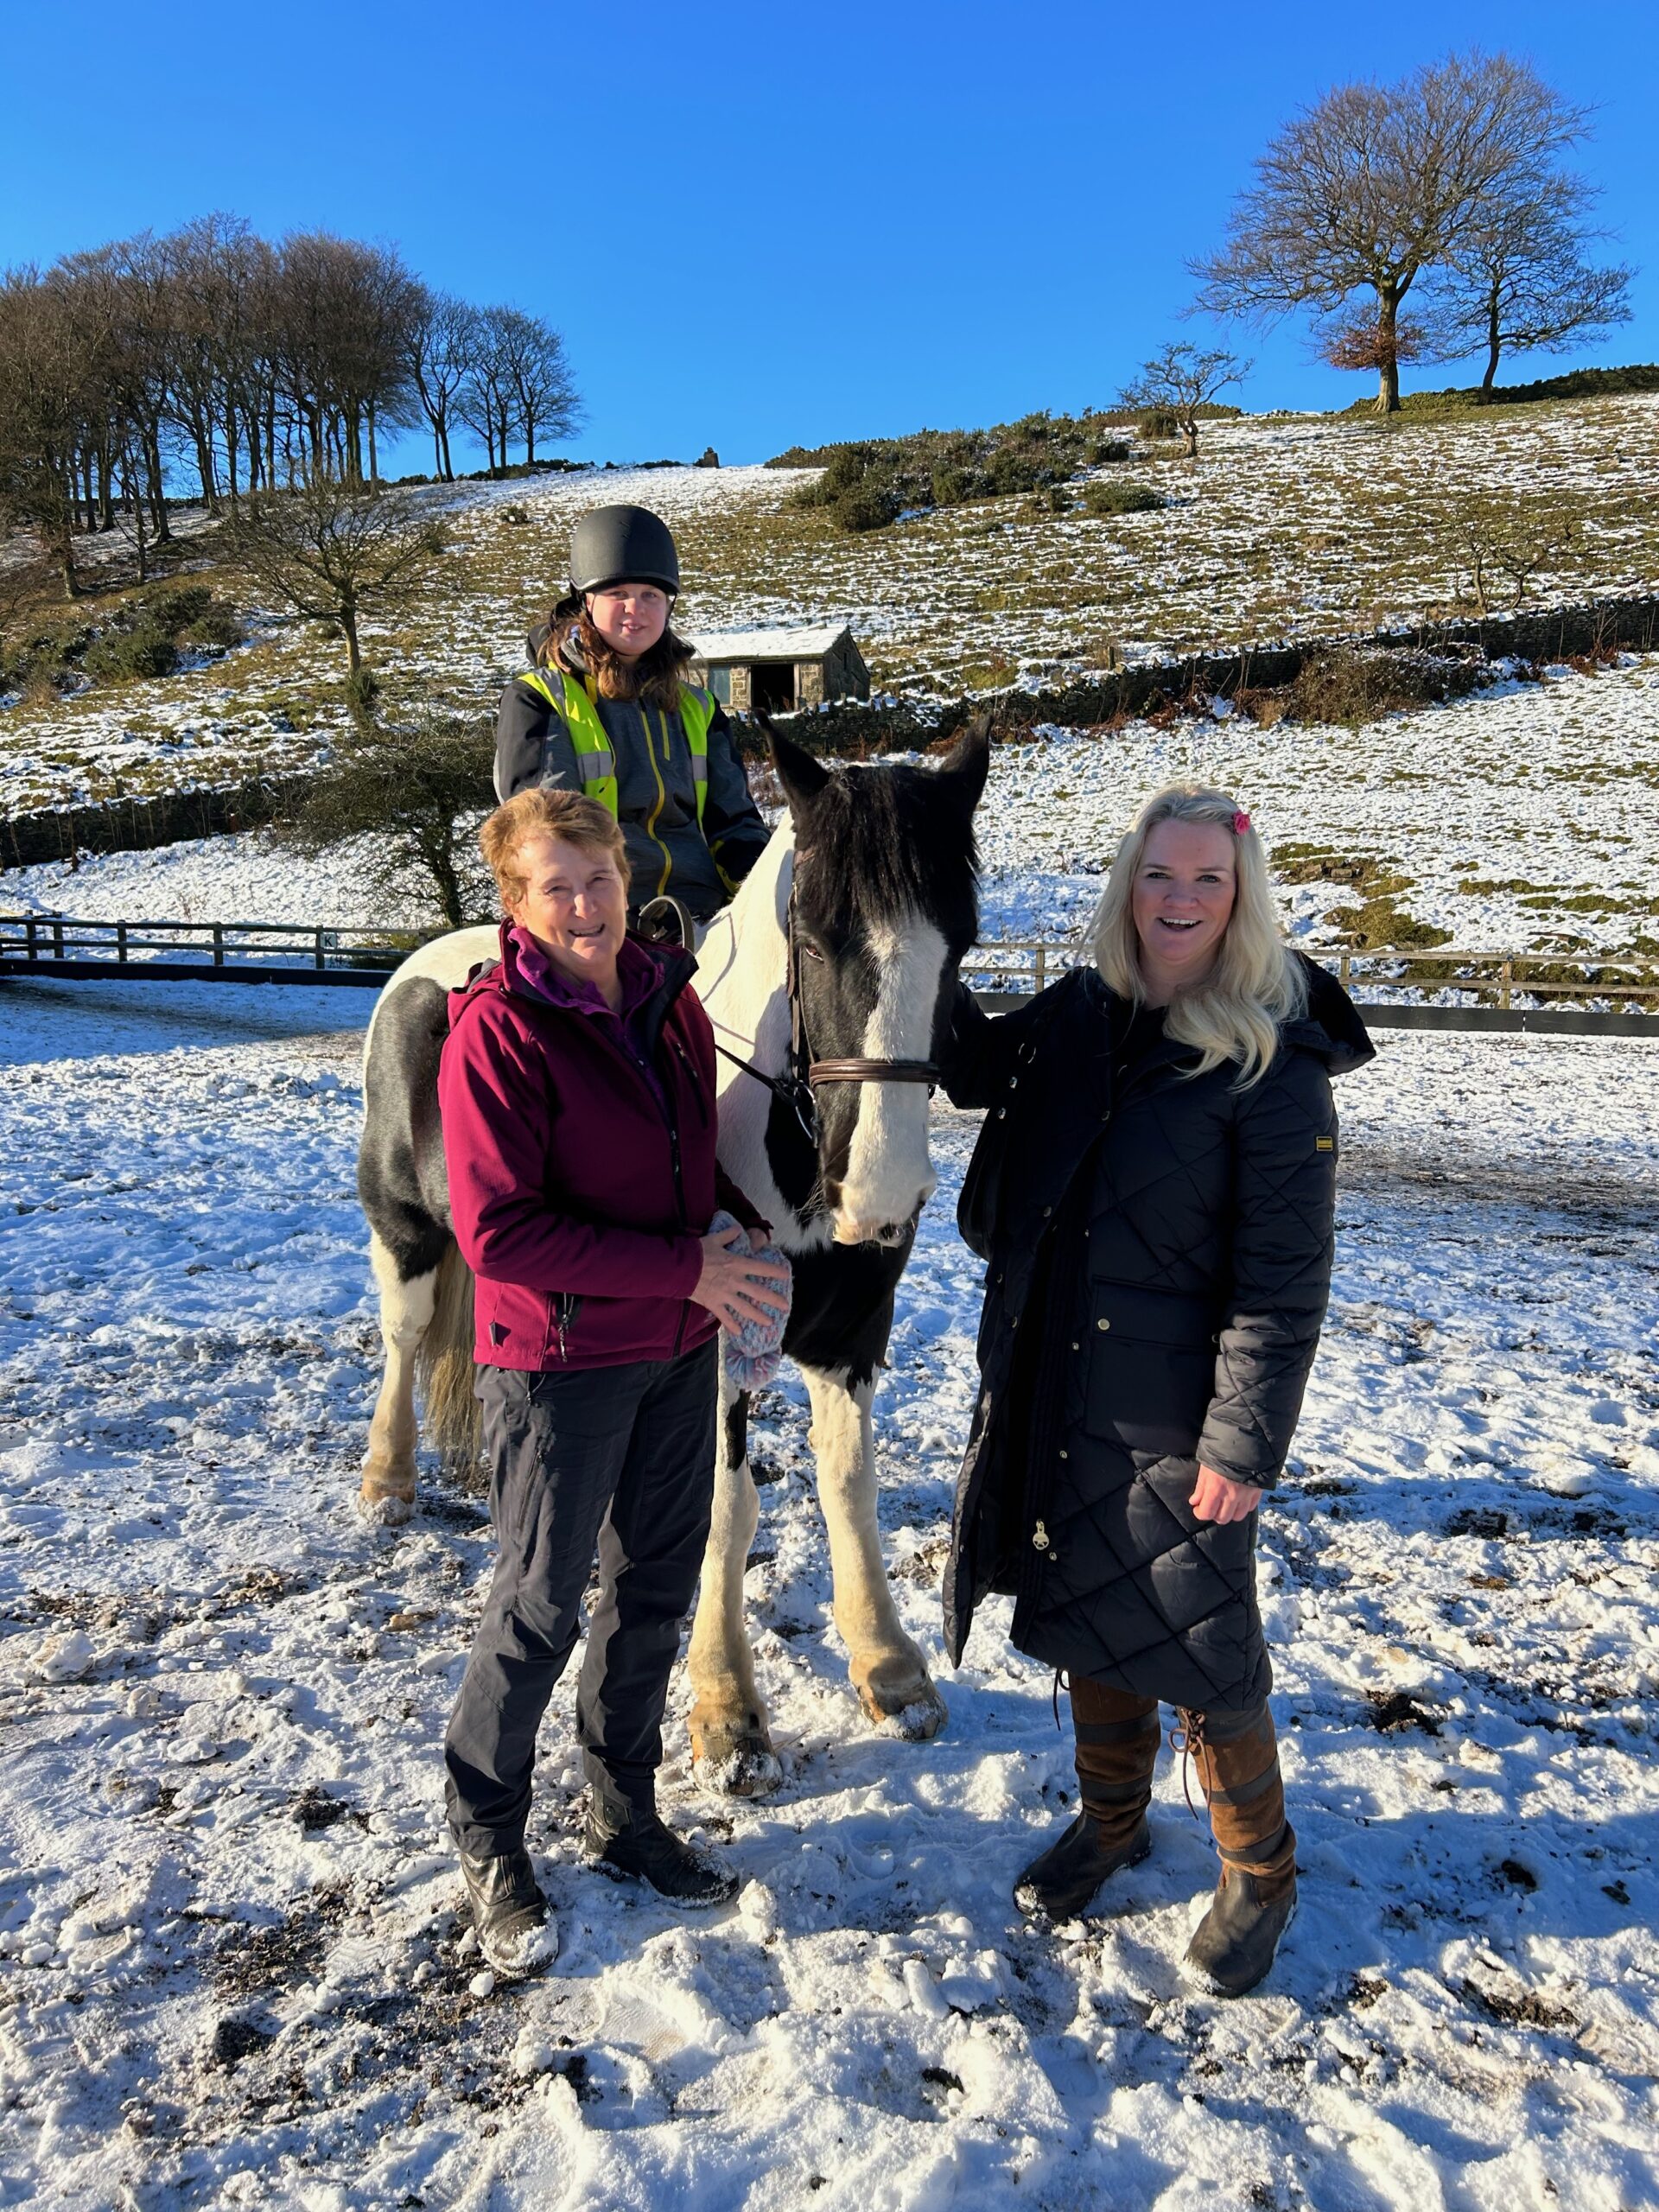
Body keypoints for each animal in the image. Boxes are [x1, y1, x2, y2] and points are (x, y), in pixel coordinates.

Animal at [354, 714, 990, 1796]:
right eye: (814, 939)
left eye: (963, 945)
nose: (880, 1193)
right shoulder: (719, 1345)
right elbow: (727, 1512)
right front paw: (729, 1712)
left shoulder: (855, 1331)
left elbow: (847, 1485)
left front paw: (890, 1667)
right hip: (403, 1231)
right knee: (402, 1341)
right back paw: (387, 1483)